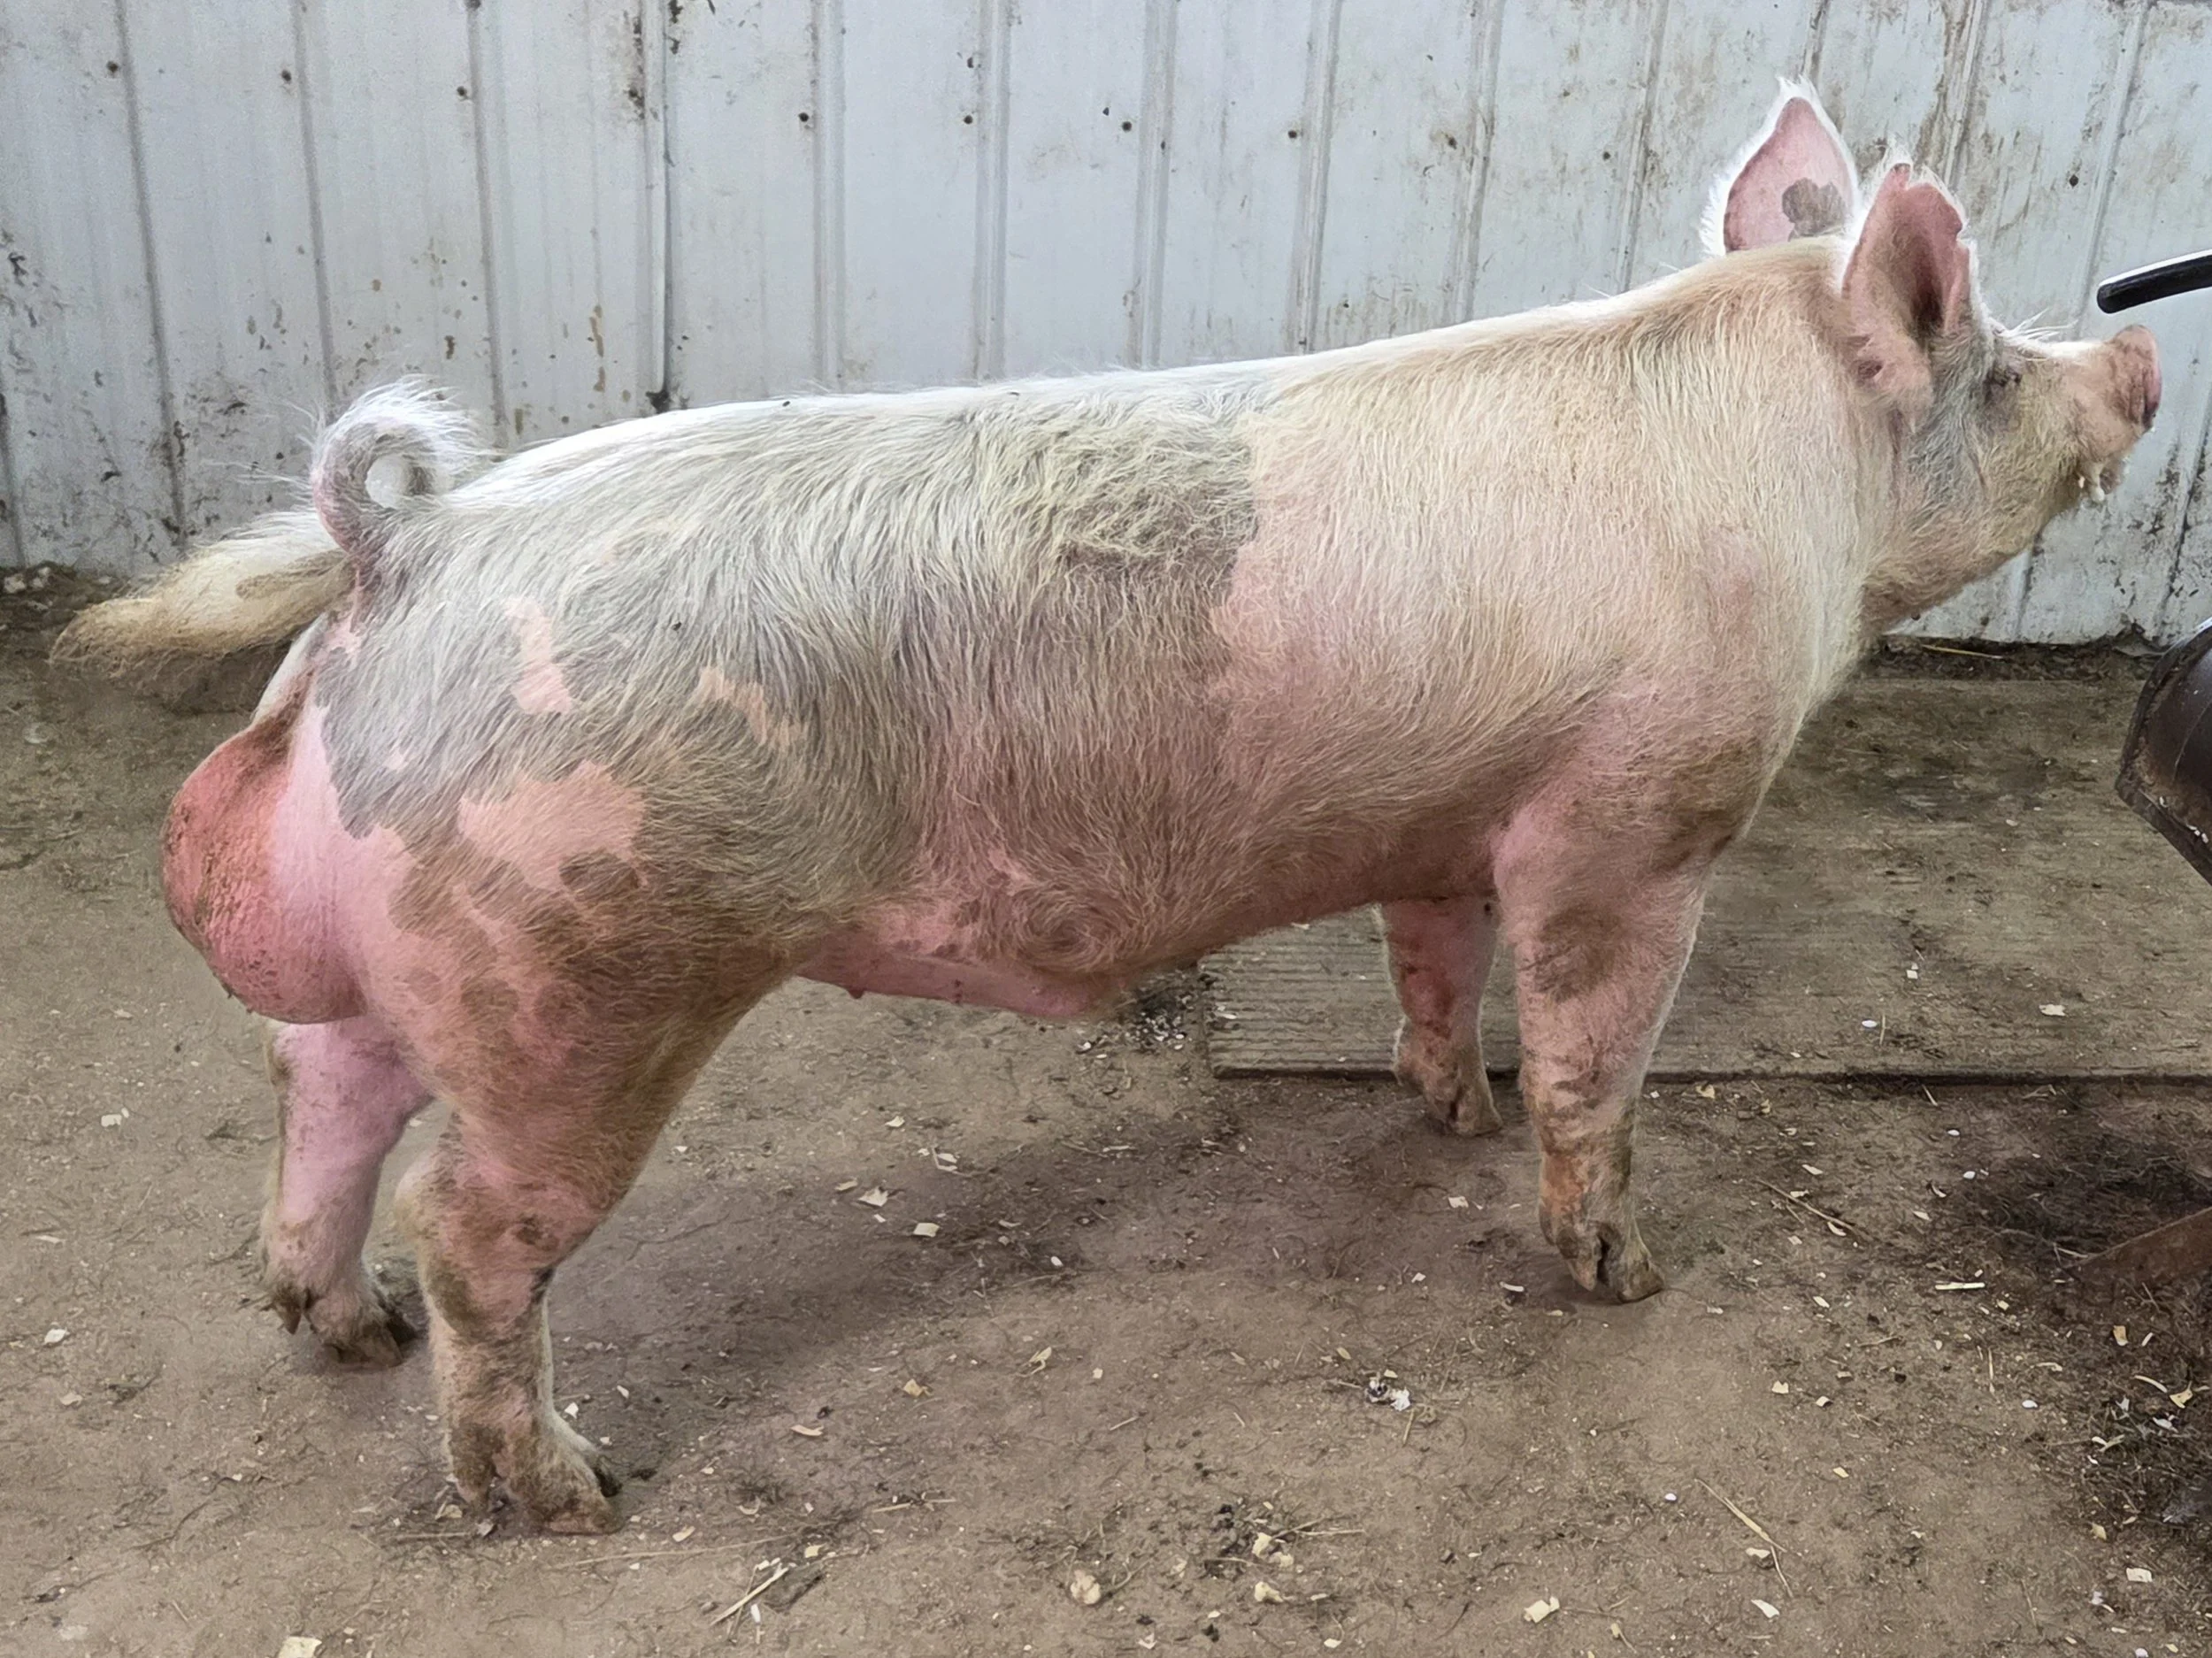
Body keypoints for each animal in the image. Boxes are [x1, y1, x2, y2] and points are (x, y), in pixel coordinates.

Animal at [60, 84, 2158, 1533]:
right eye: (1989, 360)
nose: (2136, 353)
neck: (1791, 479)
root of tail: (399, 548)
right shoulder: (1635, 813)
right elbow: (1596, 1056)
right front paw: (1623, 1272)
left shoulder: (1452, 816)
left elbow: (1434, 961)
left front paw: (1446, 1107)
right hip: (572, 972)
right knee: (464, 1214)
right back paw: (565, 1493)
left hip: (411, 952)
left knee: (321, 1088)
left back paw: (334, 1327)